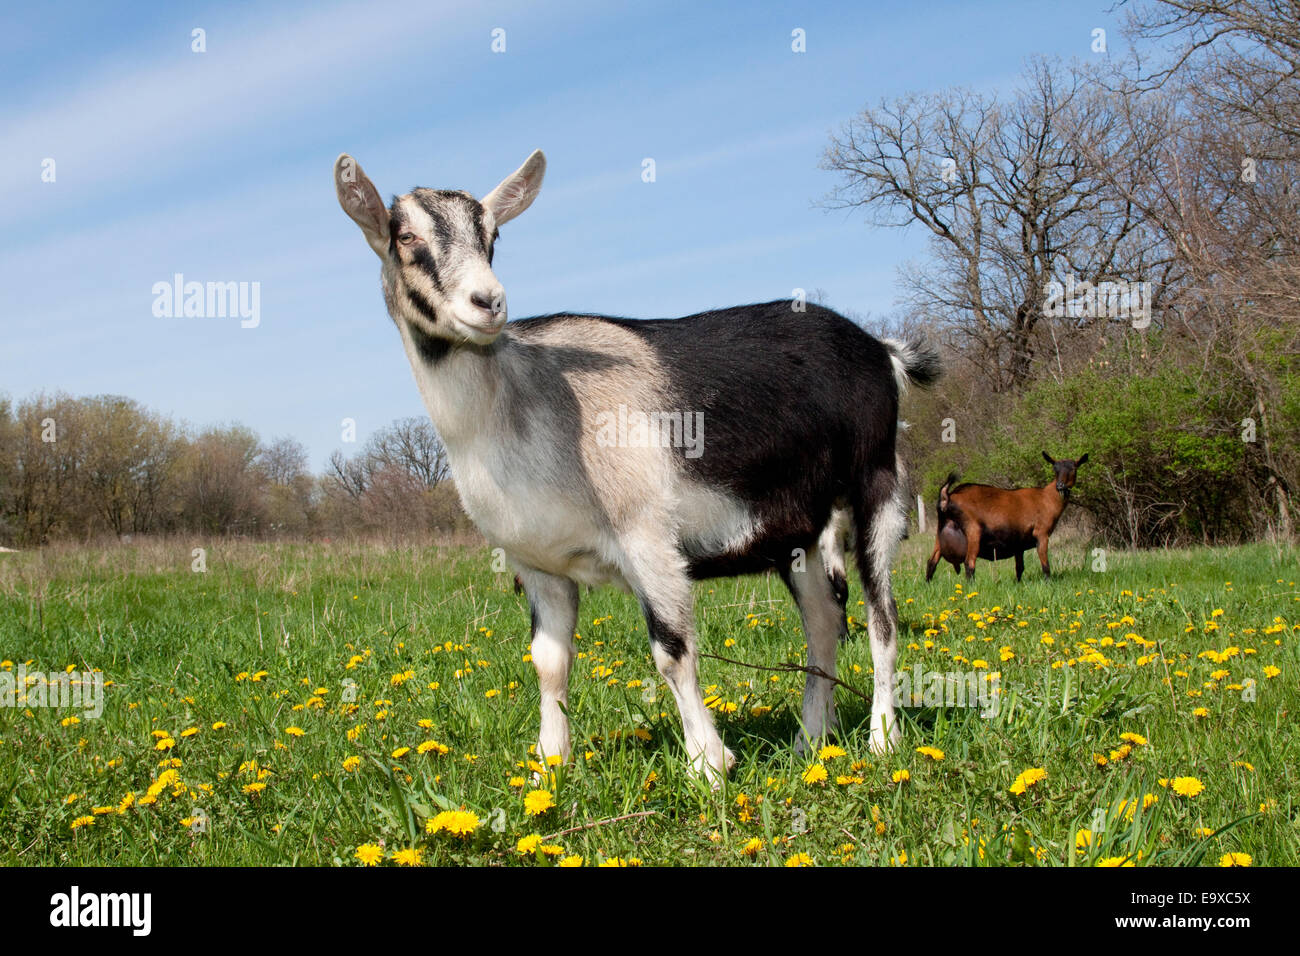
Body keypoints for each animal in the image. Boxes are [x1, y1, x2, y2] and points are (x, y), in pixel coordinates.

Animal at [333, 149, 941, 781]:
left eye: (492, 235)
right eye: (405, 236)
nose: (488, 302)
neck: (519, 404)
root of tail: (882, 352)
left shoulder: (647, 537)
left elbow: (672, 651)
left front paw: (709, 765)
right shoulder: (539, 564)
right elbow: (549, 661)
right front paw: (549, 767)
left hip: (876, 484)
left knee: (882, 618)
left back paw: (882, 739)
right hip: (799, 530)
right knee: (823, 623)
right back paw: (809, 741)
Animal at [925, 452, 1088, 581]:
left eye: (1074, 468)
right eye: (1055, 468)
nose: (1060, 486)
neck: (1046, 498)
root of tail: (948, 497)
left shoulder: (1019, 544)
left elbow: (1019, 568)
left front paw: (1018, 584)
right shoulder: (1041, 533)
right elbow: (1045, 564)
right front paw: (1048, 583)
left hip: (940, 533)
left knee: (931, 562)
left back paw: (928, 585)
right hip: (973, 531)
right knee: (969, 563)